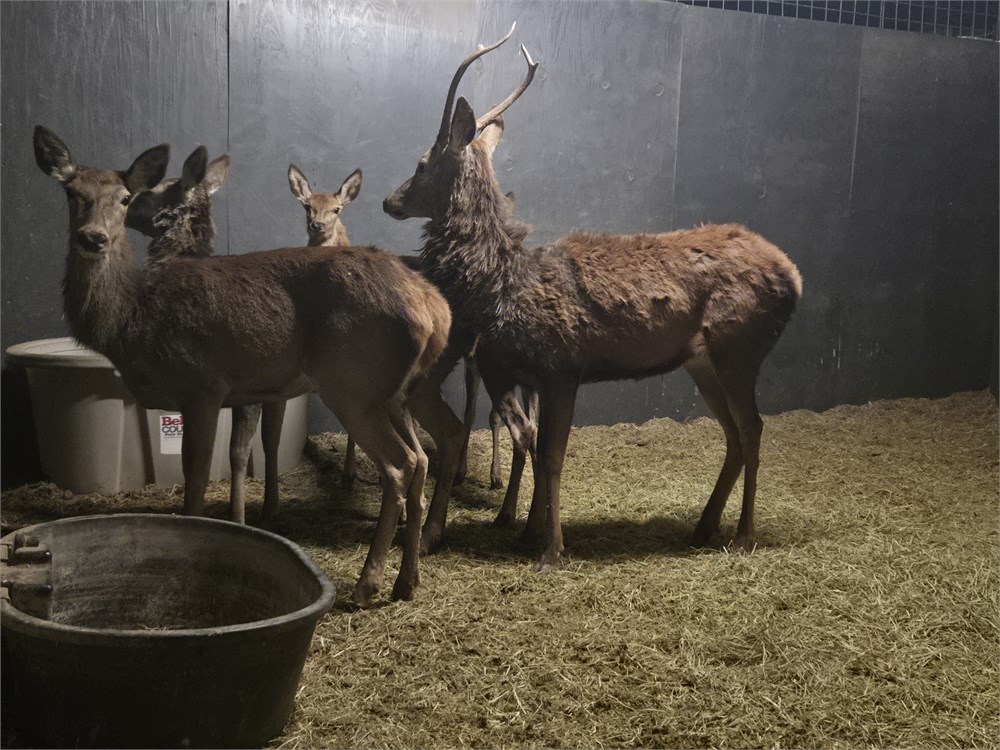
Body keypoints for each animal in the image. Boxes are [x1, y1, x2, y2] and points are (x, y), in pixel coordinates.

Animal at [34, 125, 451, 606]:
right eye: (71, 192)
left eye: (128, 196)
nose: (93, 238)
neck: (131, 320)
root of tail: (436, 310)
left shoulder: (203, 384)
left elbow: (196, 478)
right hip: (393, 393)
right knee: (421, 458)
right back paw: (408, 580)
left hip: (351, 384)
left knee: (400, 465)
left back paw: (368, 585)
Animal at [382, 27, 803, 571]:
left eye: (421, 162)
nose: (390, 200)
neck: (501, 289)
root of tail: (794, 277)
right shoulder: (526, 374)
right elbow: (536, 446)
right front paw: (527, 534)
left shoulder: (562, 368)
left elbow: (553, 455)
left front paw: (552, 549)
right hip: (702, 361)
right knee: (732, 432)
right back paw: (703, 526)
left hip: (740, 347)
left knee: (752, 428)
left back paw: (745, 534)